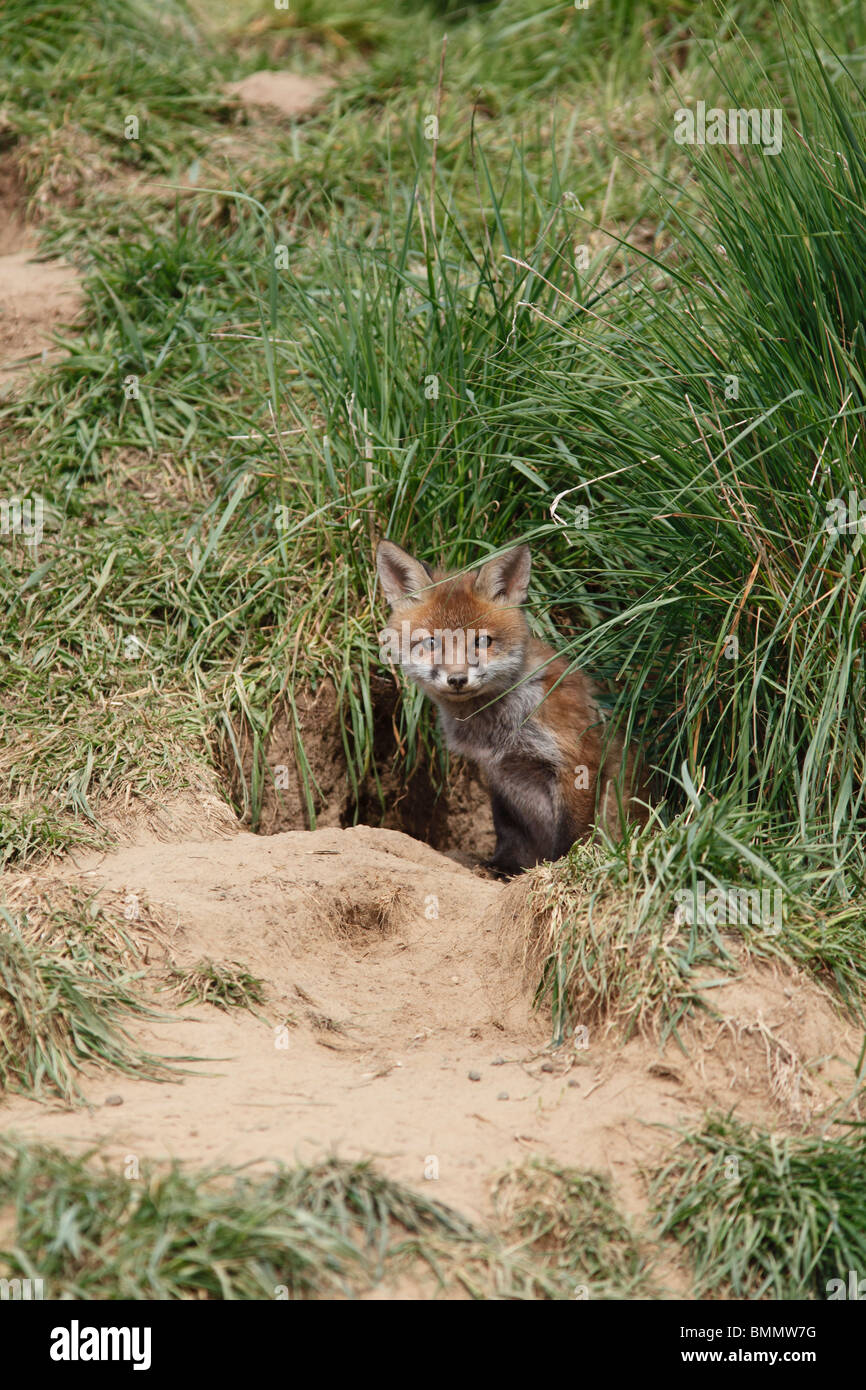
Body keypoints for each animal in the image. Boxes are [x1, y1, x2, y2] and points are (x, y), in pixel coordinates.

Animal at [376, 539, 644, 877]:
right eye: (431, 643)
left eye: (482, 641)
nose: (457, 679)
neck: (498, 730)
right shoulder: (497, 773)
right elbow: (508, 831)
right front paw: (502, 867)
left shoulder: (577, 758)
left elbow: (572, 833)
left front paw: (561, 867)